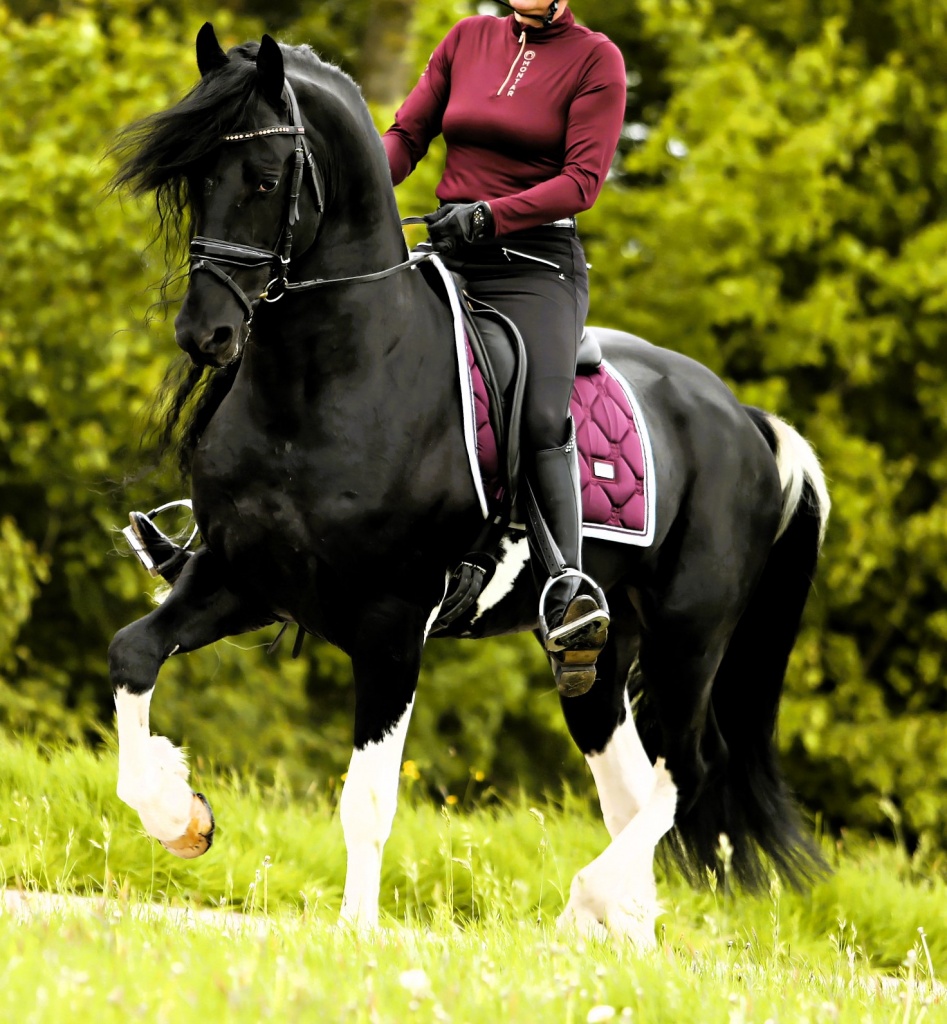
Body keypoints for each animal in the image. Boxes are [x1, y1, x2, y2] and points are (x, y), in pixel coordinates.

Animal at [107, 24, 830, 947]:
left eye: (265, 178)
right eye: (195, 178)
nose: (206, 335)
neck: (327, 380)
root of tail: (741, 417)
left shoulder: (390, 625)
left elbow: (367, 799)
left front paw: (354, 935)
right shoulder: (240, 580)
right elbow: (133, 654)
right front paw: (181, 818)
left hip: (688, 635)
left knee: (688, 772)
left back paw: (590, 903)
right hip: (598, 657)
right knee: (633, 786)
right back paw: (625, 934)